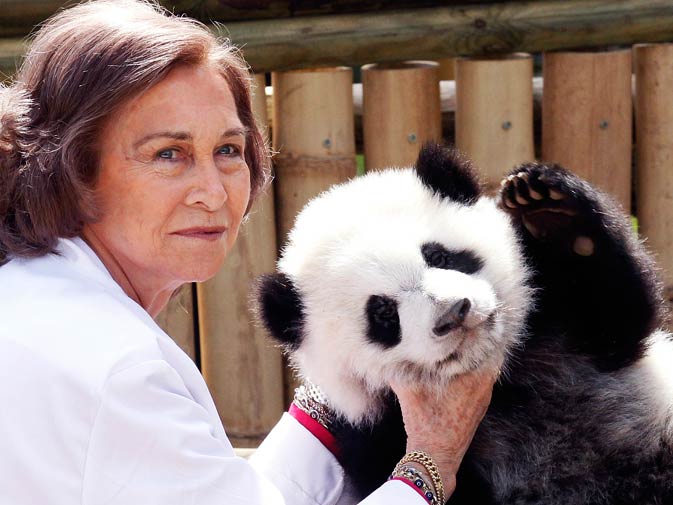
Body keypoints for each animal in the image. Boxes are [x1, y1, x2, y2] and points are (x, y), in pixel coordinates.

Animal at [255, 143, 673, 504]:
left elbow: (618, 318)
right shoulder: (373, 430)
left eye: (440, 256)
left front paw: (553, 214)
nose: (452, 313)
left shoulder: (561, 329)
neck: (504, 383)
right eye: (383, 314)